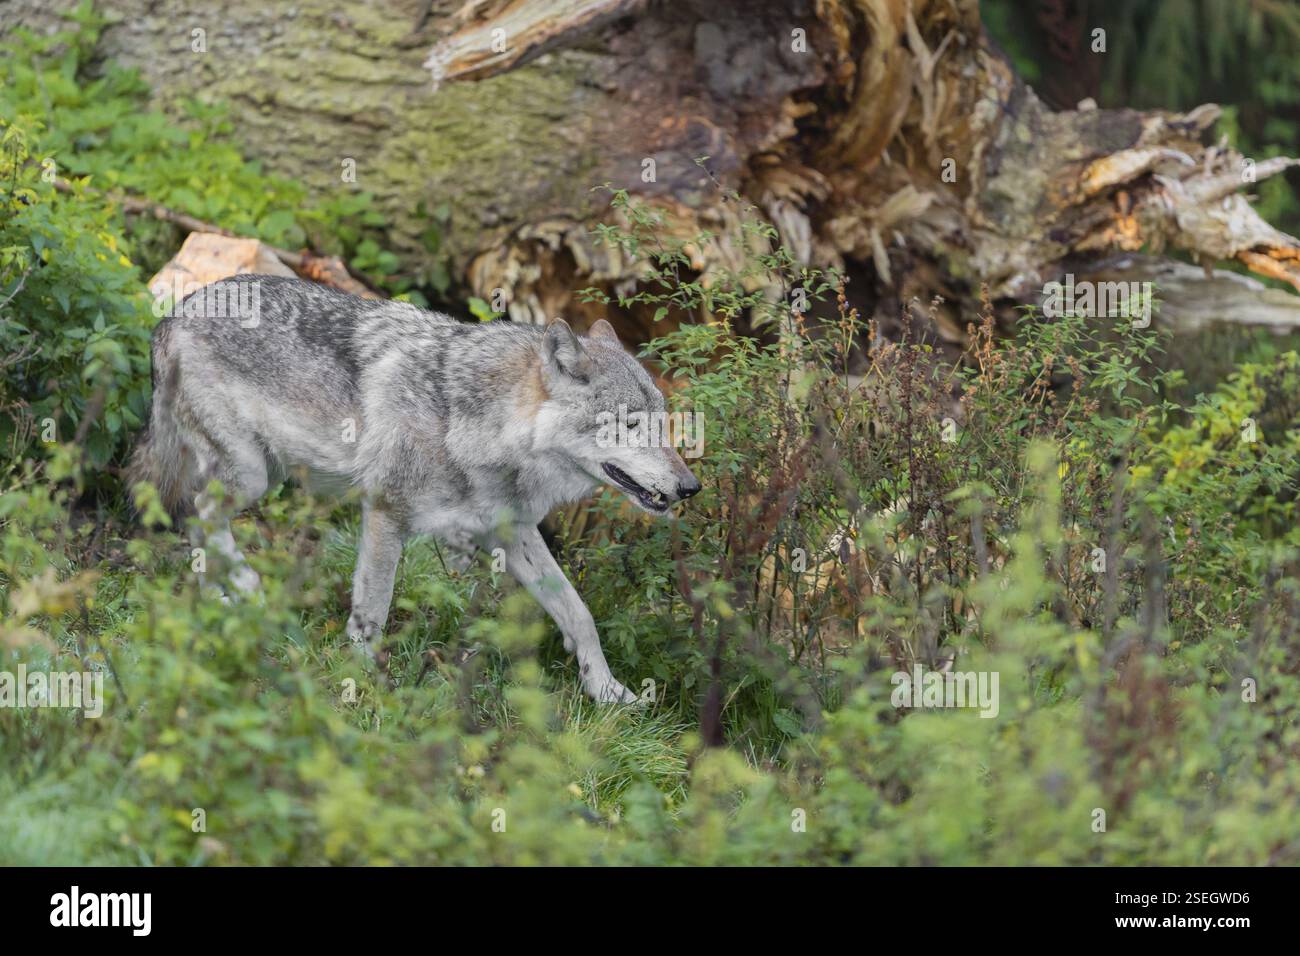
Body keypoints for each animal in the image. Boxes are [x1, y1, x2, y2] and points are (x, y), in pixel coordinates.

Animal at [128, 275, 700, 703]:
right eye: (629, 425)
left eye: (662, 422)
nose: (690, 487)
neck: (477, 426)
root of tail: (172, 314)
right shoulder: (386, 514)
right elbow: (373, 610)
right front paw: (360, 680)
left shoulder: (511, 532)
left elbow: (580, 616)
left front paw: (609, 692)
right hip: (251, 475)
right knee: (199, 511)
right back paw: (242, 588)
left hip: (262, 474)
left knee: (197, 519)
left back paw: (218, 597)